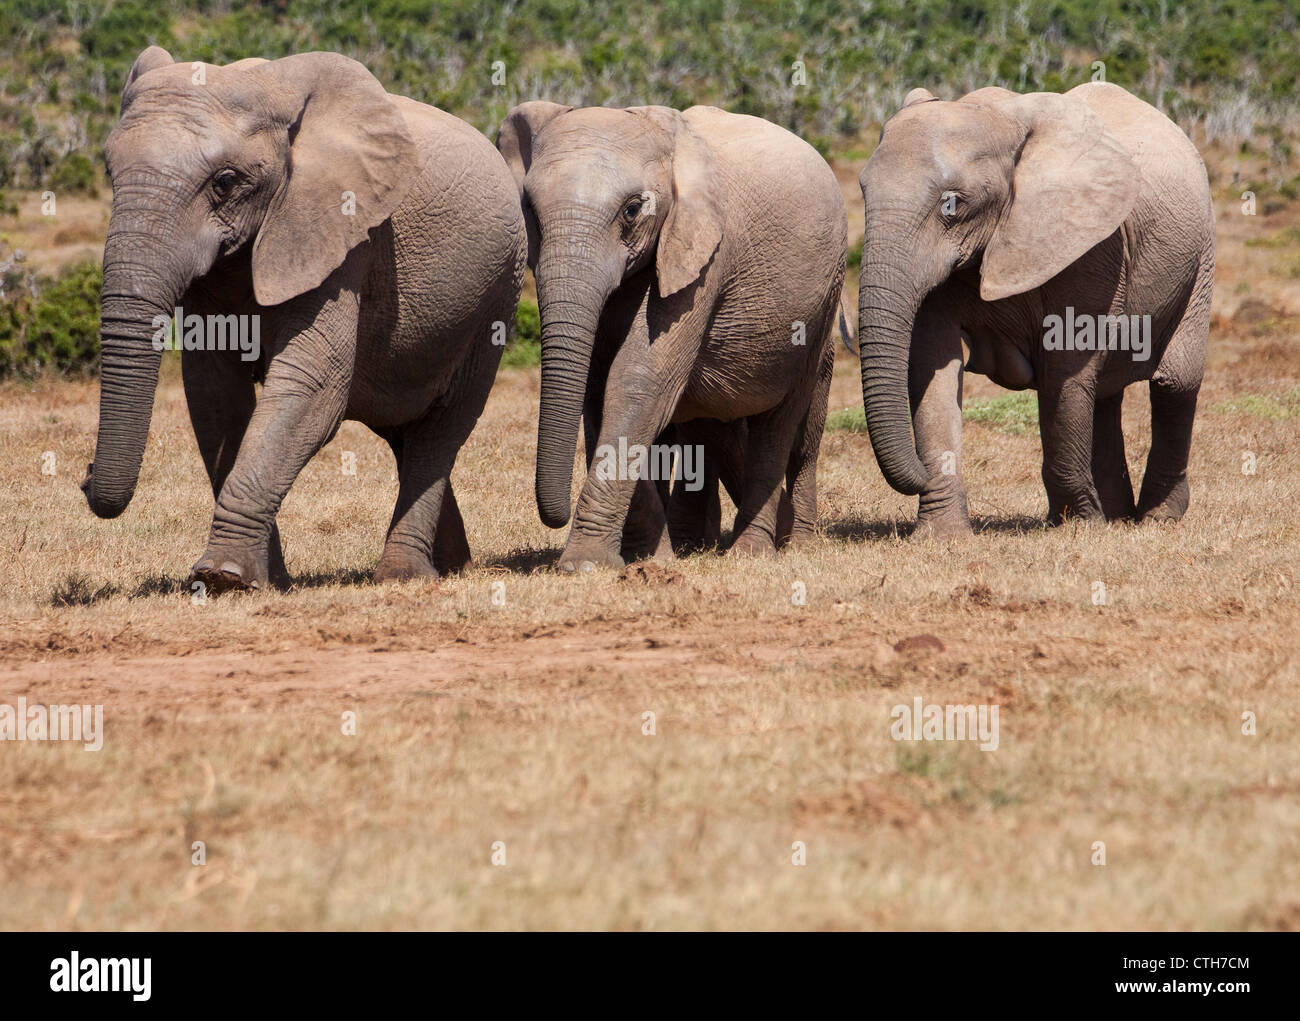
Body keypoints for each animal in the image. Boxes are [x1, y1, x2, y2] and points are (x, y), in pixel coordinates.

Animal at [80, 47, 525, 591]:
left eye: (225, 182)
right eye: (110, 171)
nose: (85, 475)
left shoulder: (344, 231)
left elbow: (312, 386)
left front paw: (224, 576)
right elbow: (215, 395)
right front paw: (263, 581)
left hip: (497, 296)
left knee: (441, 429)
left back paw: (403, 576)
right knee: (406, 432)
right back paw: (453, 566)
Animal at [497, 102, 844, 571]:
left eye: (631, 210)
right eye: (529, 209)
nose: (556, 515)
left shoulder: (705, 257)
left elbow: (638, 383)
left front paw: (585, 565)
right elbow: (600, 390)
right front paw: (649, 560)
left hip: (823, 300)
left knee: (782, 424)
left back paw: (760, 551)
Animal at [856, 82, 1213, 536]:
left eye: (951, 204)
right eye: (863, 191)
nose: (918, 472)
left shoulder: (1094, 243)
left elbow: (1066, 367)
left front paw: (1080, 525)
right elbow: (933, 365)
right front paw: (942, 535)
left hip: (1201, 257)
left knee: (1174, 382)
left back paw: (1156, 517)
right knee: (1106, 393)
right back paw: (1117, 515)